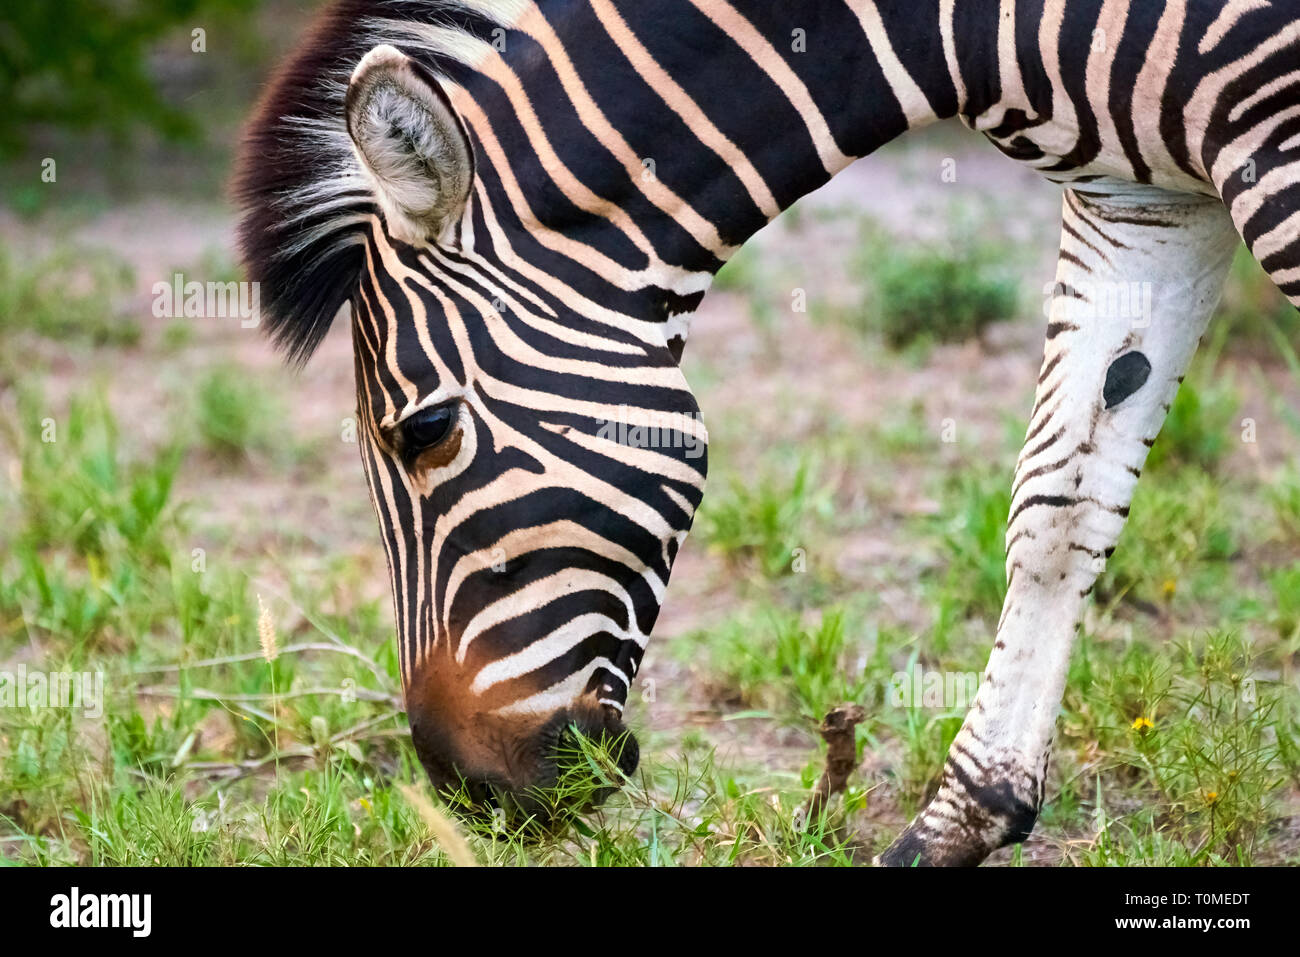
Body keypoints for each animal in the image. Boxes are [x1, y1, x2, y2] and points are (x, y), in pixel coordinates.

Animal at [233, 0, 1300, 865]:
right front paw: (962, 820)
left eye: (427, 431)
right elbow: (1058, 509)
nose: (473, 796)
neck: (949, 28)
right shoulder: (1144, 199)